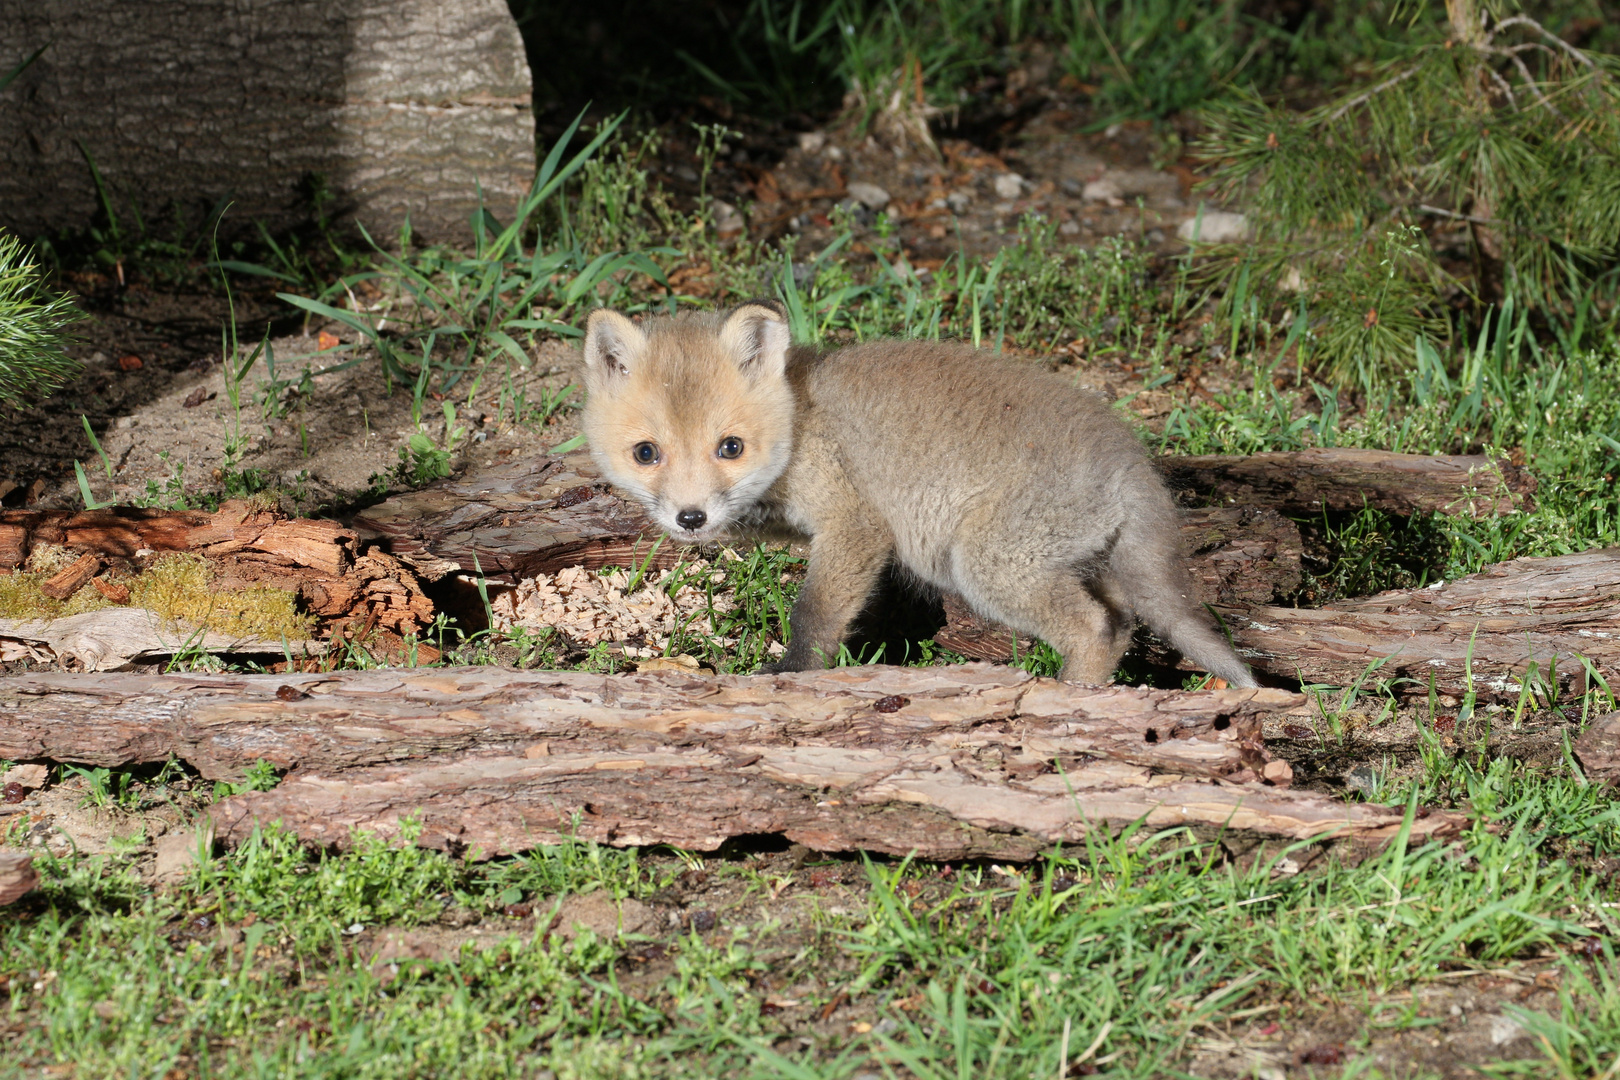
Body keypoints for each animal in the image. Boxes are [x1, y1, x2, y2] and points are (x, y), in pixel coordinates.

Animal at [578, 299, 1257, 687]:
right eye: (646, 454)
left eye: (730, 447)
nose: (691, 518)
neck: (802, 420)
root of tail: (1129, 461)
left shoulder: (855, 527)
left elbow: (813, 613)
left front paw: (795, 672)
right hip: (1082, 564)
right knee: (1121, 624)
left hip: (991, 565)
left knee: (1096, 630)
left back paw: (1068, 699)